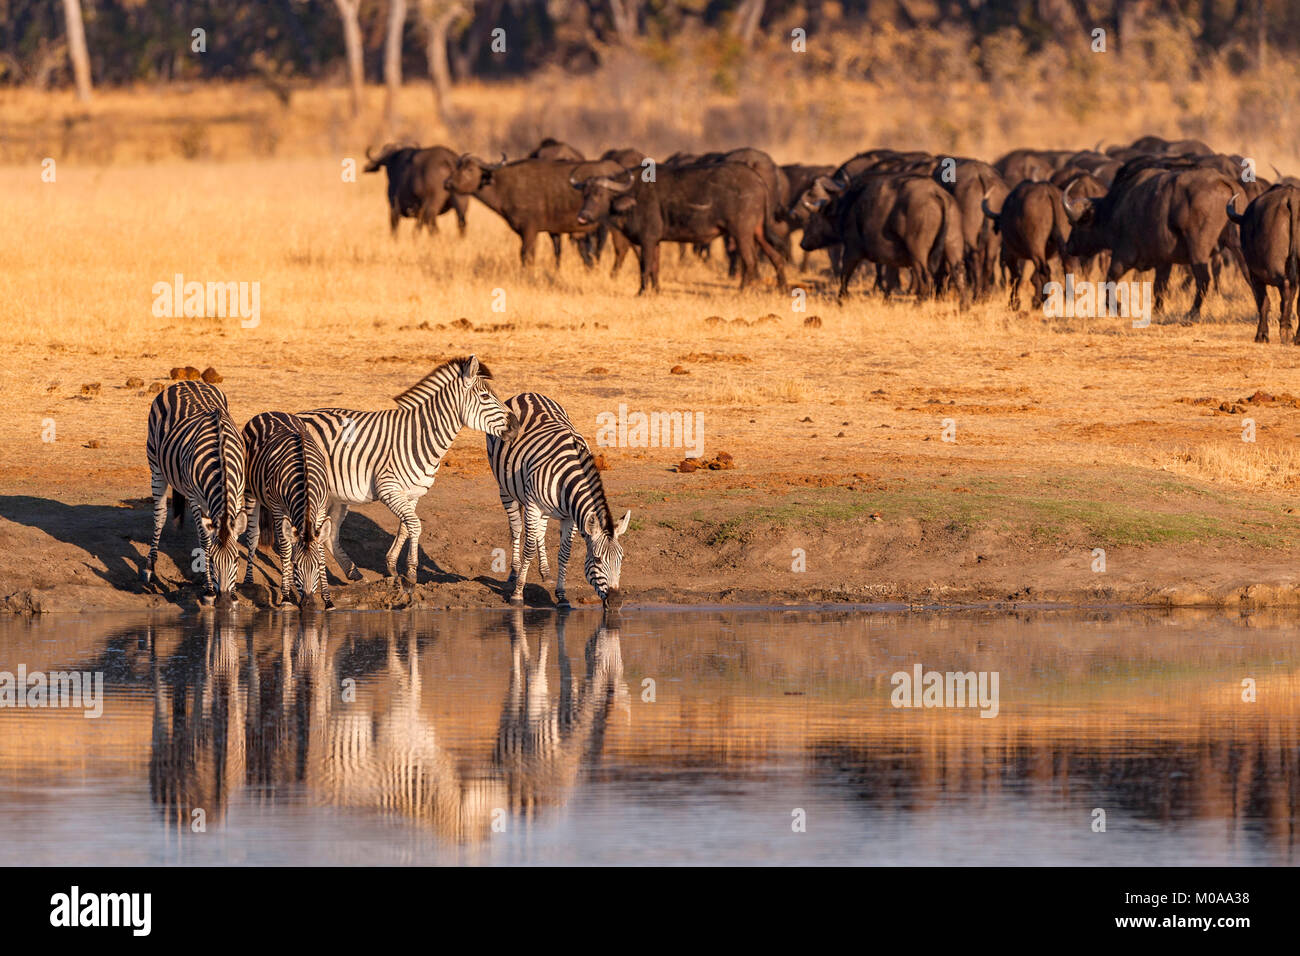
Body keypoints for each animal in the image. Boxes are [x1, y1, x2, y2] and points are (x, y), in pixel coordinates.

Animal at [143, 380, 247, 605]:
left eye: (236, 559)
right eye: (213, 560)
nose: (225, 600)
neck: (221, 461)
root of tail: (186, 382)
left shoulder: (238, 494)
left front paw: (234, 593)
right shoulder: (194, 498)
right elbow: (205, 541)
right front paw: (208, 590)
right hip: (155, 465)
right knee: (160, 515)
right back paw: (149, 568)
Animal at [242, 412, 334, 609]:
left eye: (316, 566)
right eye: (296, 565)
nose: (308, 604)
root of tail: (268, 412)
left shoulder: (321, 507)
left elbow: (321, 550)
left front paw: (328, 599)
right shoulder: (279, 508)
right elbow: (285, 550)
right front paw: (285, 596)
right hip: (250, 491)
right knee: (253, 535)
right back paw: (248, 580)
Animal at [296, 355, 518, 584]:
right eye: (485, 396)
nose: (517, 426)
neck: (419, 438)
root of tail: (296, 414)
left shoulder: (413, 493)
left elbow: (405, 527)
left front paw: (393, 566)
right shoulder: (388, 489)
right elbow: (415, 525)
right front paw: (411, 573)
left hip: (336, 495)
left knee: (329, 534)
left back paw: (353, 572)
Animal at [486, 392, 631, 608]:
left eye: (621, 559)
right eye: (597, 560)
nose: (615, 602)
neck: (568, 476)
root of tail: (527, 393)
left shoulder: (570, 516)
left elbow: (564, 553)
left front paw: (561, 596)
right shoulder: (533, 506)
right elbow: (528, 549)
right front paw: (518, 593)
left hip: (544, 508)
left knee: (540, 531)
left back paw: (545, 573)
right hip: (505, 489)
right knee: (516, 528)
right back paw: (514, 571)